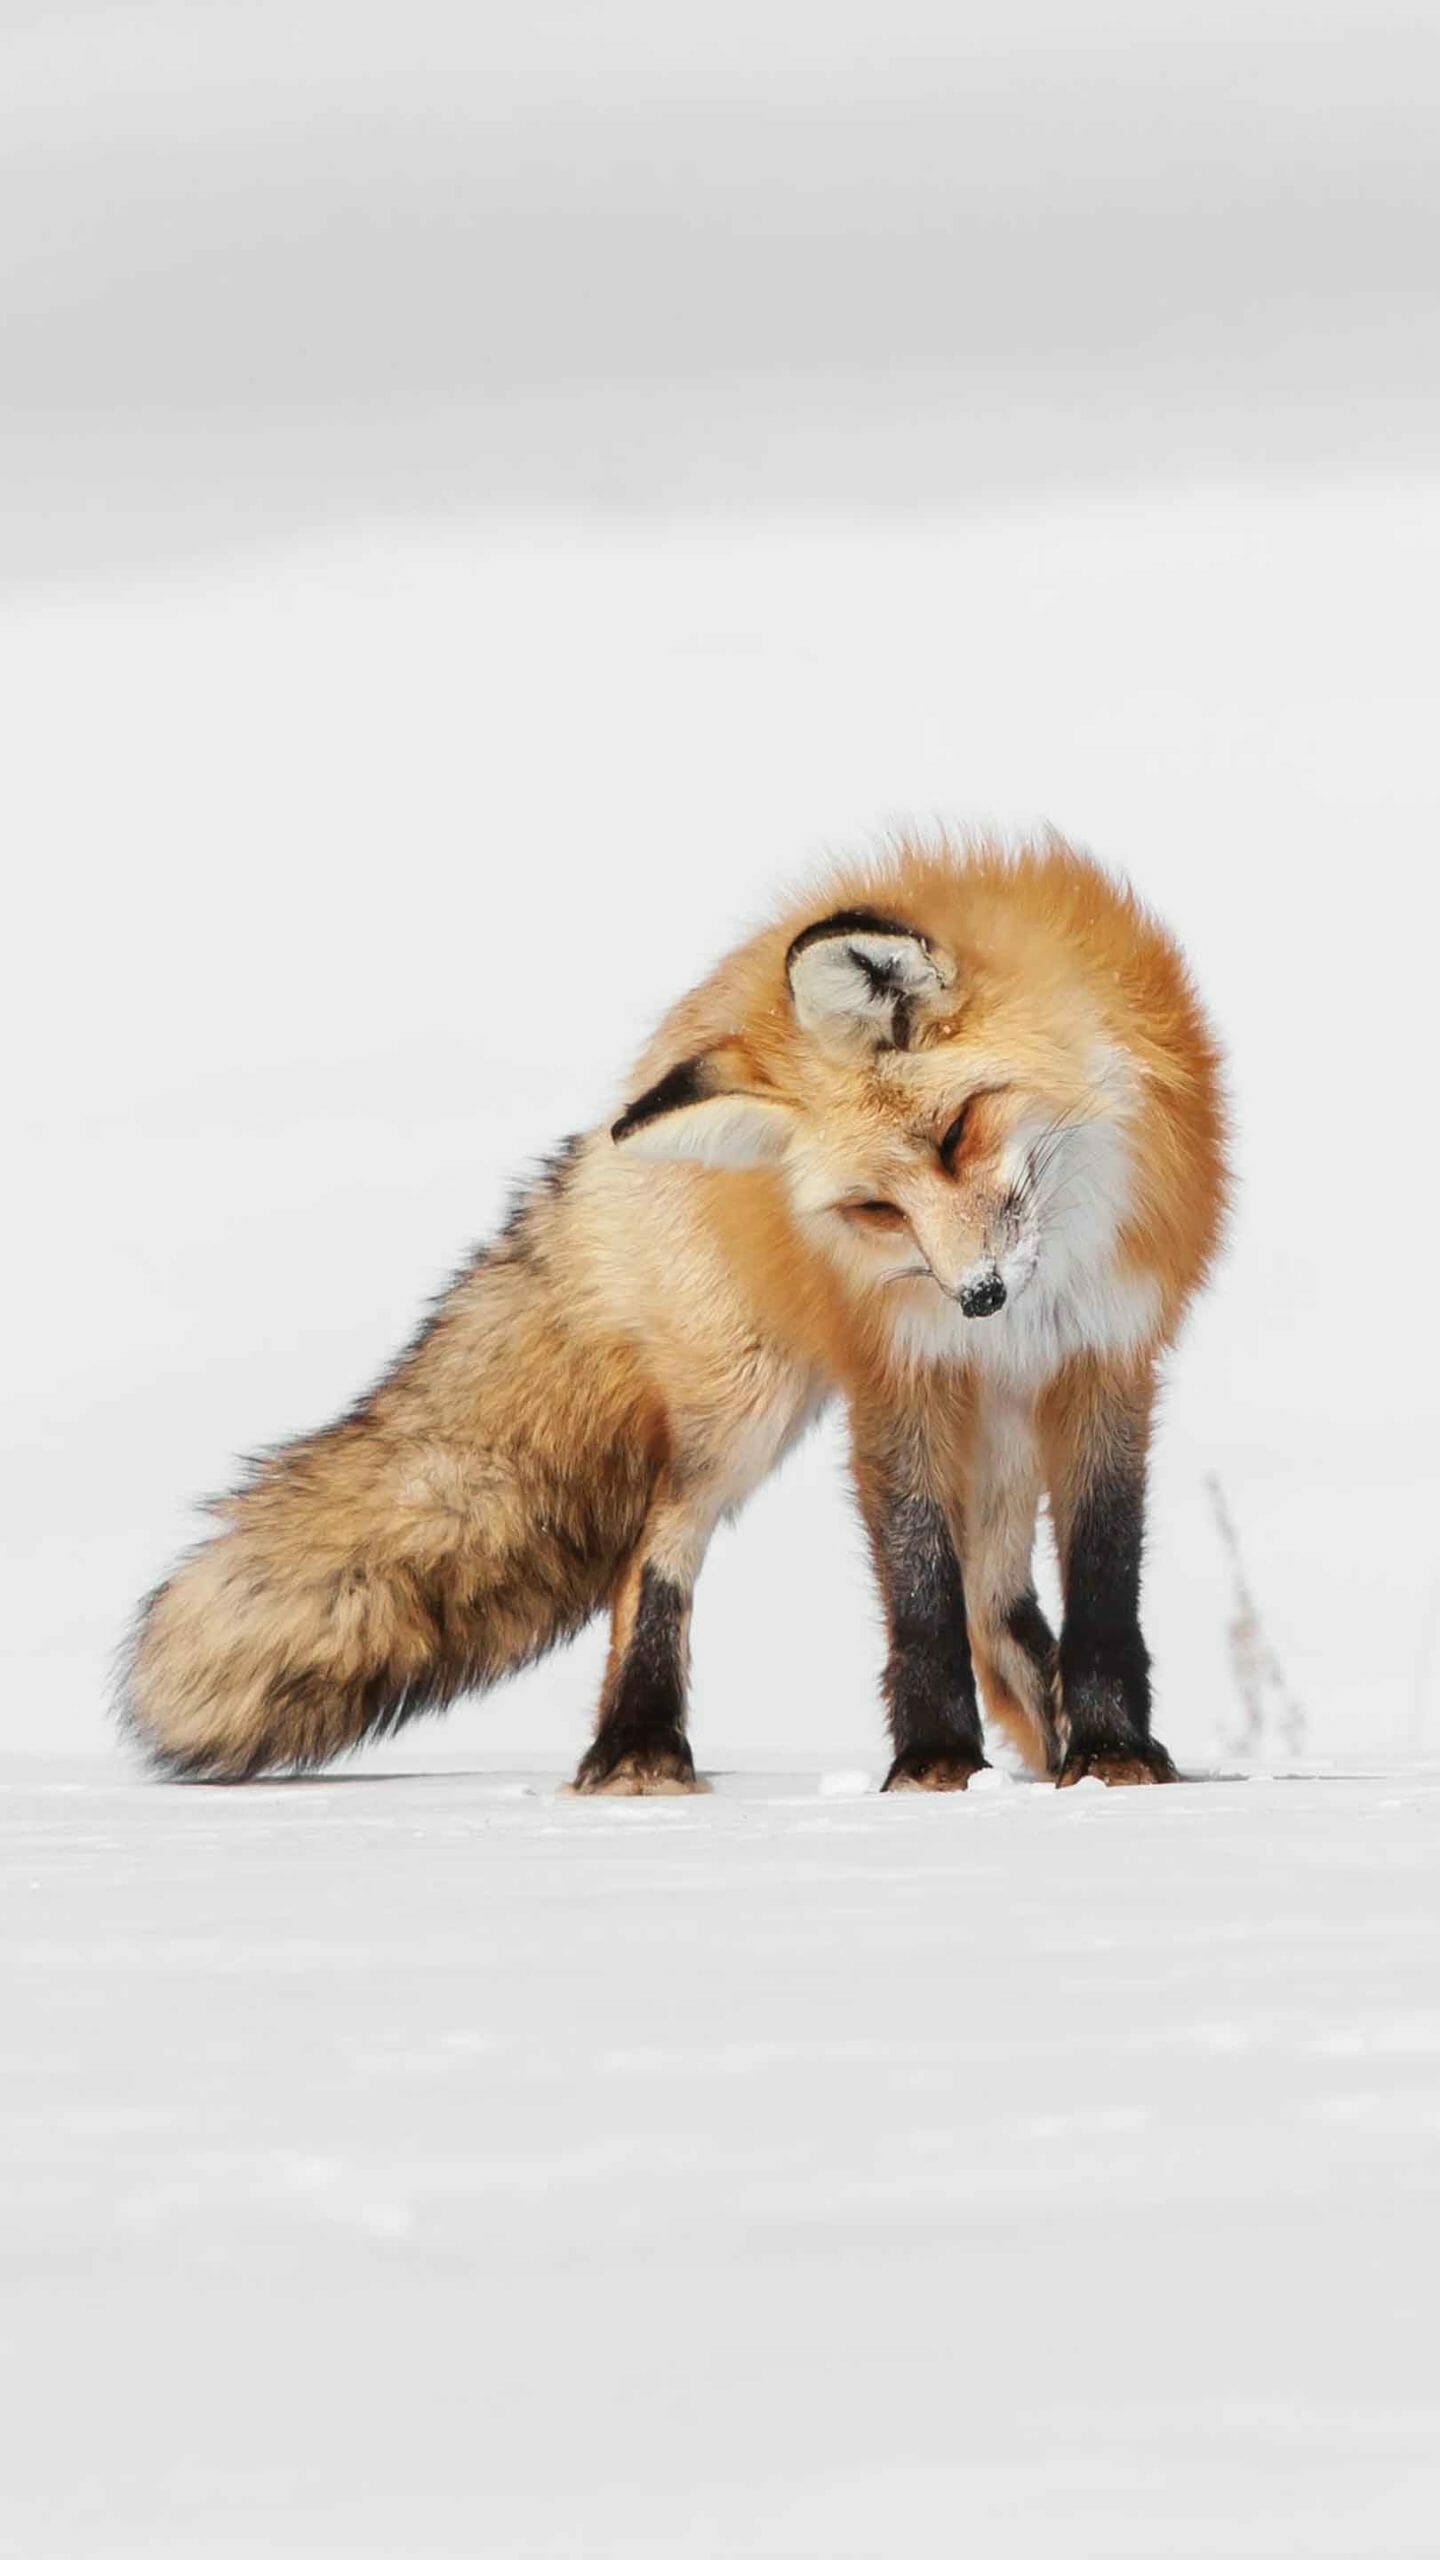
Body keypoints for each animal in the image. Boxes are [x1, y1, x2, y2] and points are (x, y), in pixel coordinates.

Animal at [121, 834, 1228, 1793]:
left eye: (957, 1134)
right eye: (876, 1210)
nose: (980, 1298)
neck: (1053, 1281)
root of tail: (638, 1084)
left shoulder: (1107, 1356)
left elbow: (1102, 1573)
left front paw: (1113, 1754)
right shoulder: (894, 1368)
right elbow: (918, 1587)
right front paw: (934, 1764)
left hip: (990, 1423)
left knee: (996, 1602)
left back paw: (1053, 1737)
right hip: (745, 1403)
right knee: (655, 1542)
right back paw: (638, 1748)